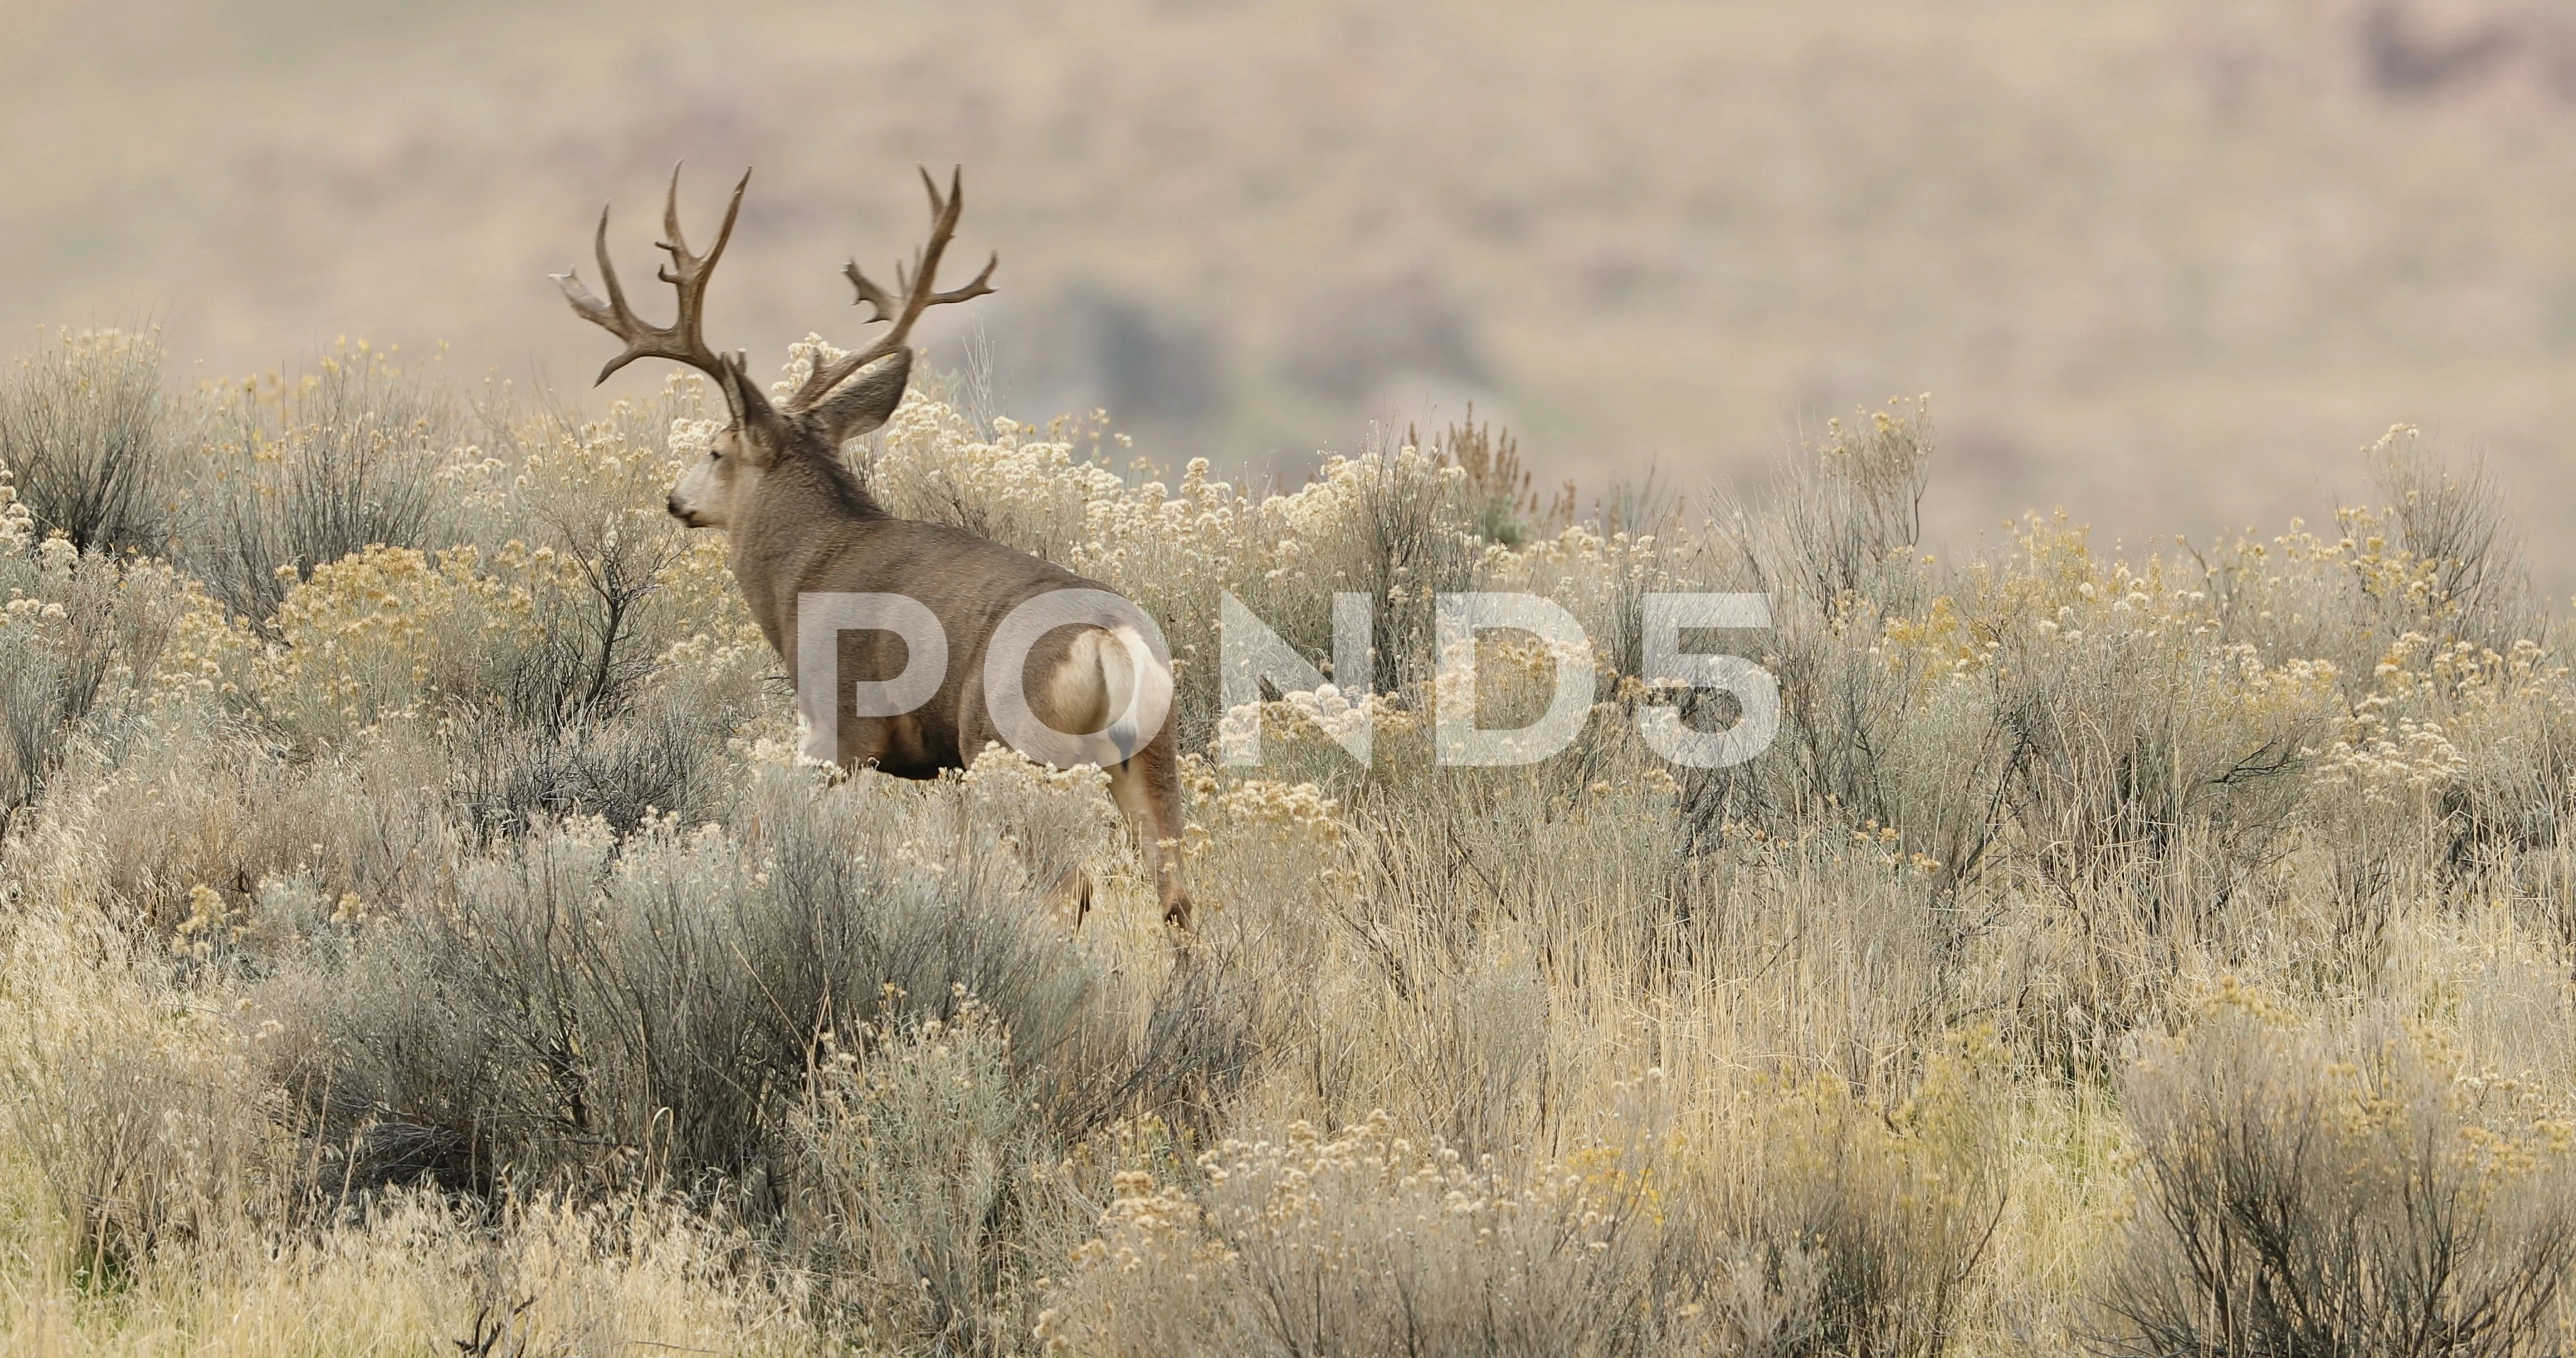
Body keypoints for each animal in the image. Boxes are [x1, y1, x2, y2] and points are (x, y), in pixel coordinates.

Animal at [554, 166, 1193, 930]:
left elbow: (771, 829)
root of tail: (1107, 640)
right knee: (1177, 893)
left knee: (1068, 886)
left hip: (1011, 747)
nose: (676, 499)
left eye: (714, 448)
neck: (807, 572)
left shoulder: (836, 725)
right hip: (1151, 753)